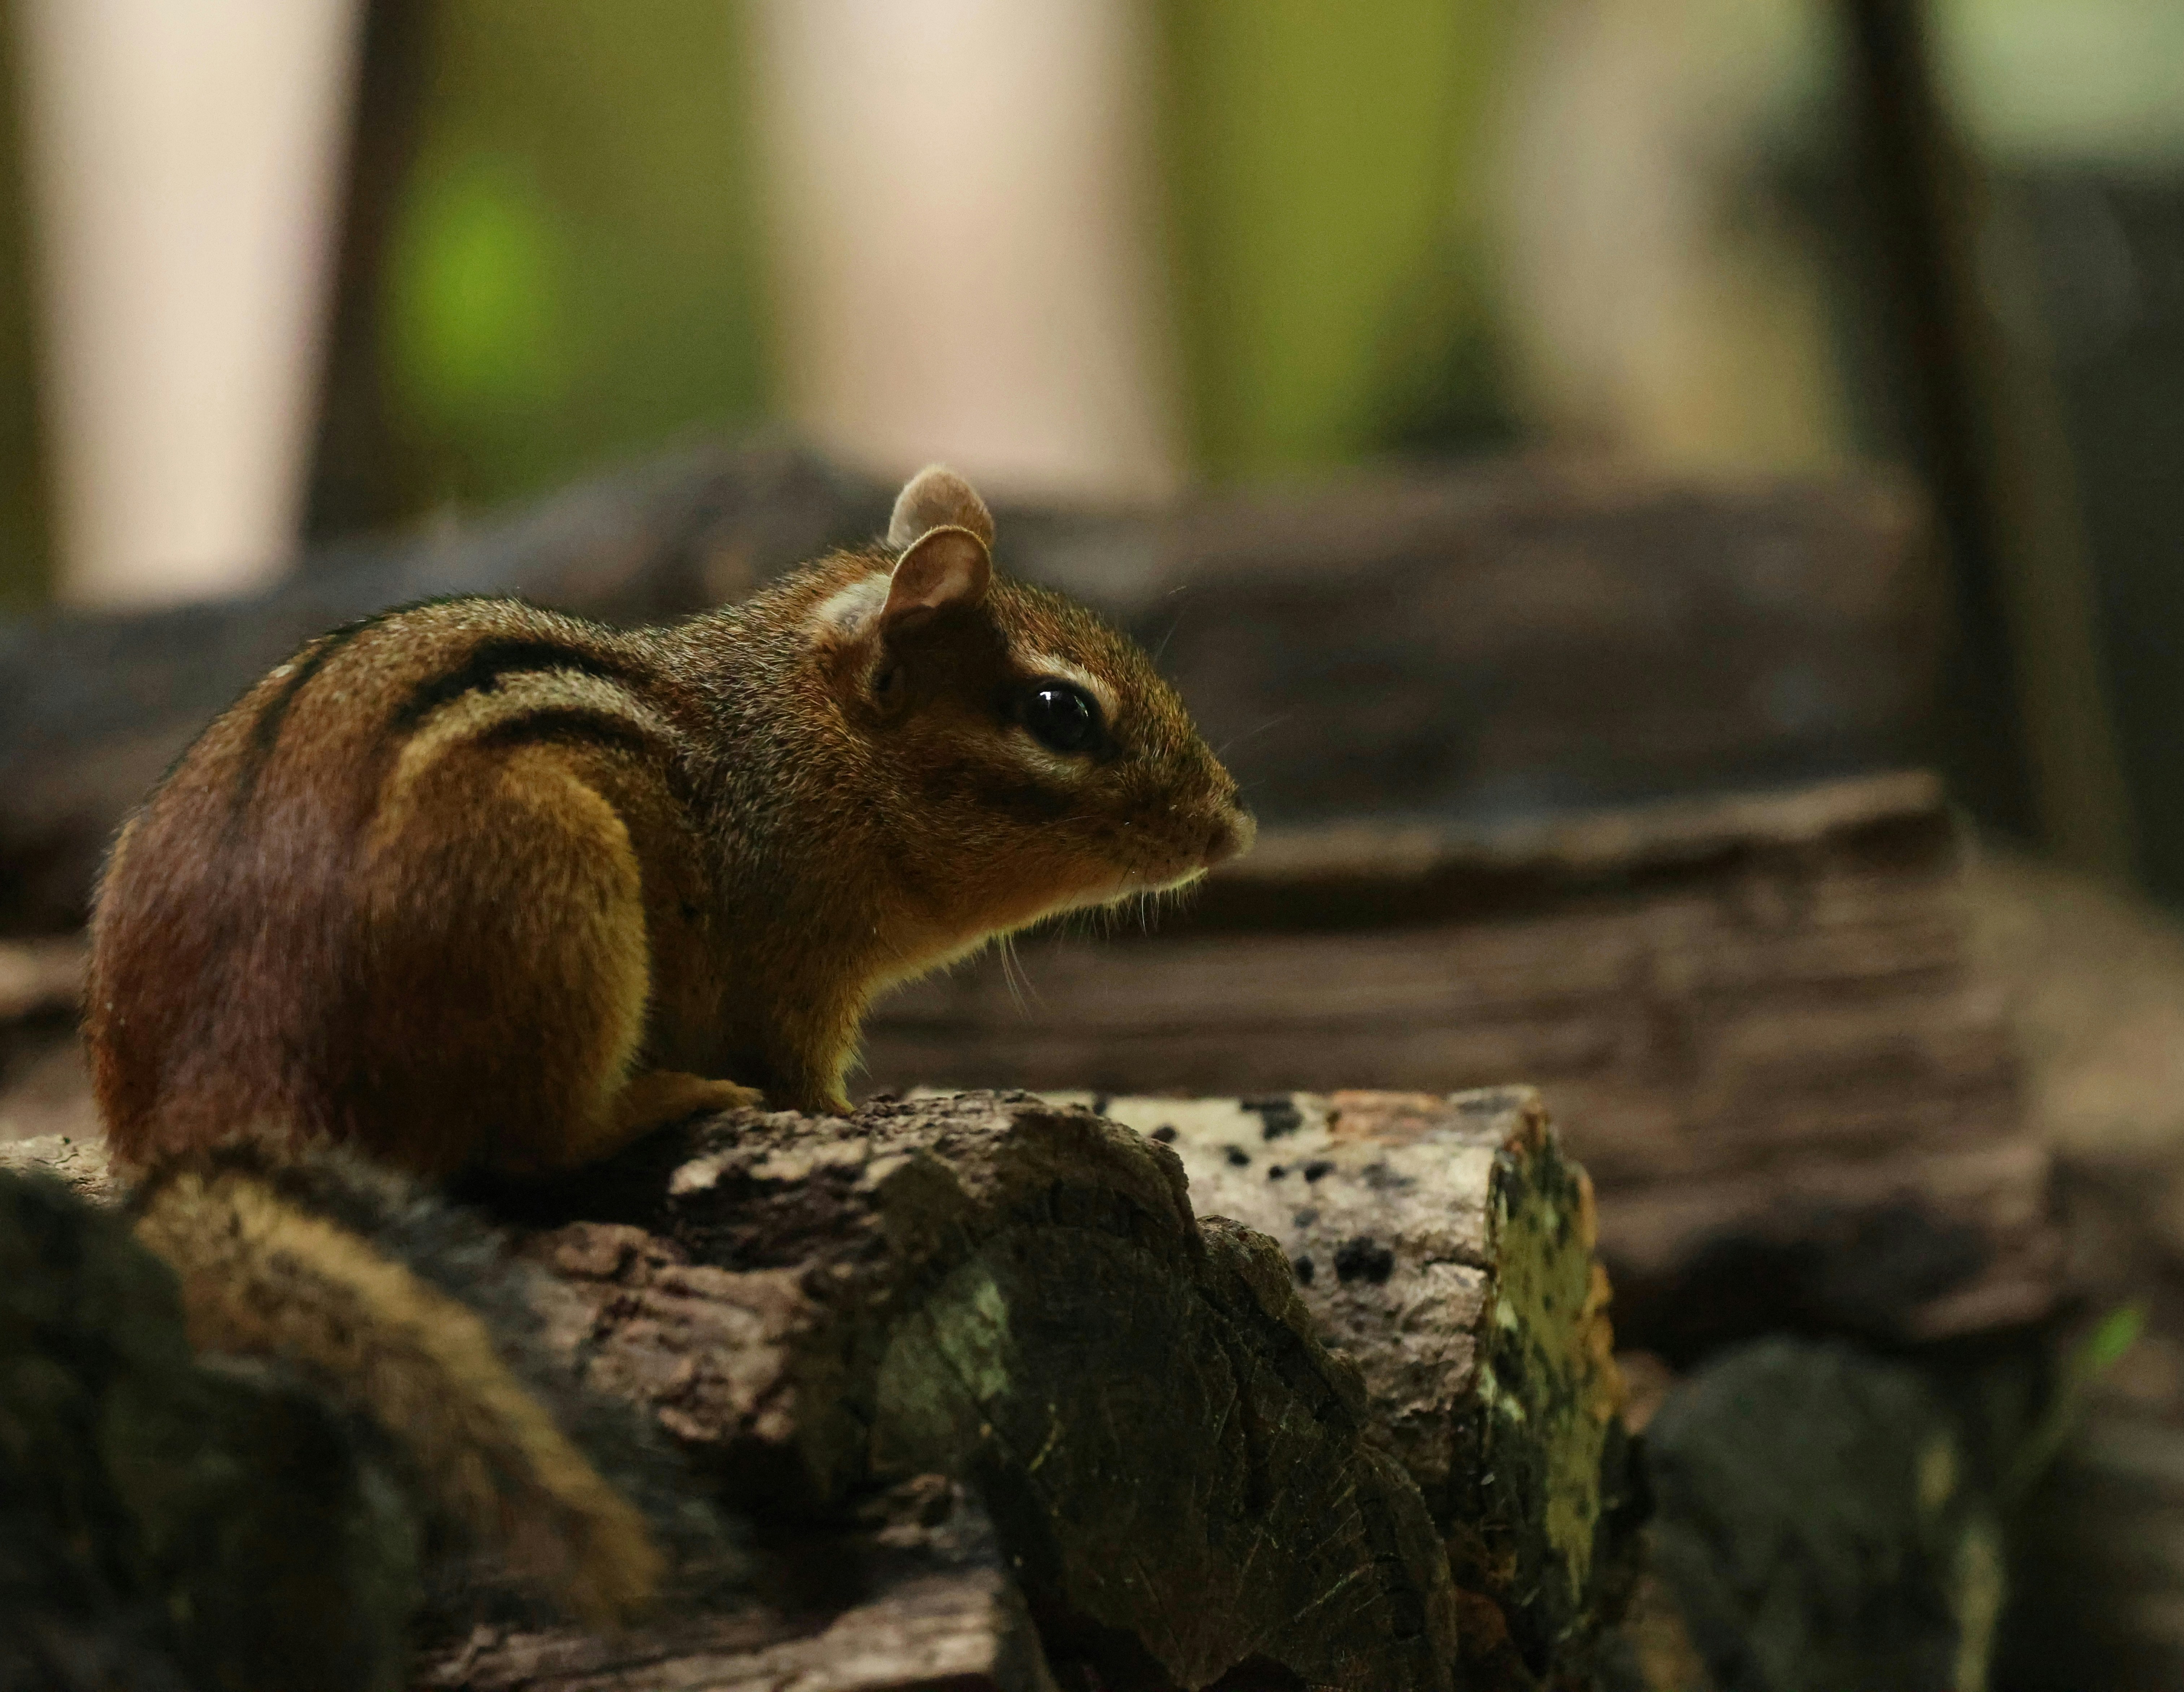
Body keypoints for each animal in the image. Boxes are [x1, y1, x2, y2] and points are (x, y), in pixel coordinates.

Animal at [85, 465, 1253, 1179]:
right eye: (1061, 714)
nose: (1230, 825)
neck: (794, 741)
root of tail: (232, 1082)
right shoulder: (791, 980)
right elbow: (803, 1083)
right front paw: (845, 1121)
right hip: (558, 898)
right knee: (531, 1142)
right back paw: (667, 1098)